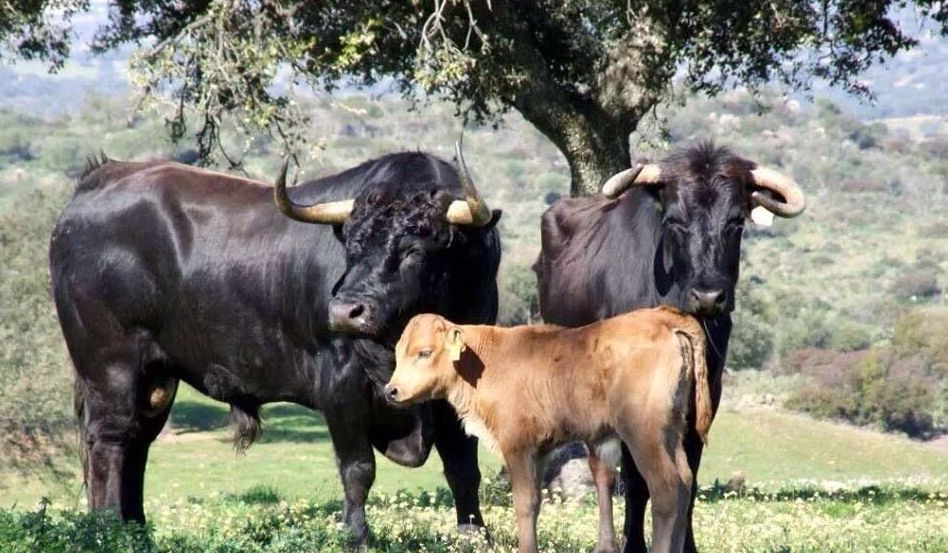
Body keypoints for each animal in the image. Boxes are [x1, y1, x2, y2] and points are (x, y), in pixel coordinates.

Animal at [49, 146, 502, 547]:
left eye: (413, 249)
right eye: (352, 246)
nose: (345, 311)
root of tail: (102, 178)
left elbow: (463, 467)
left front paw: (474, 535)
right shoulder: (341, 387)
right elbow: (358, 469)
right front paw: (357, 538)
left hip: (156, 381)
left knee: (137, 445)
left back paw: (137, 534)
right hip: (111, 369)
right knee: (111, 443)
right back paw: (109, 531)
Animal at [385, 307, 712, 553]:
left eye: (424, 352)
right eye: (399, 353)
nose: (392, 390)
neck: (486, 361)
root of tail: (663, 316)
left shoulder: (518, 446)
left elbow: (523, 503)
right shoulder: (540, 449)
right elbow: (536, 502)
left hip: (644, 433)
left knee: (665, 488)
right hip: (671, 430)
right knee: (684, 482)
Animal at [533, 142, 806, 553]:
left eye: (736, 222)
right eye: (675, 221)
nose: (709, 296)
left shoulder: (705, 393)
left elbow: (687, 472)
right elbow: (636, 478)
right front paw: (634, 545)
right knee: (602, 467)